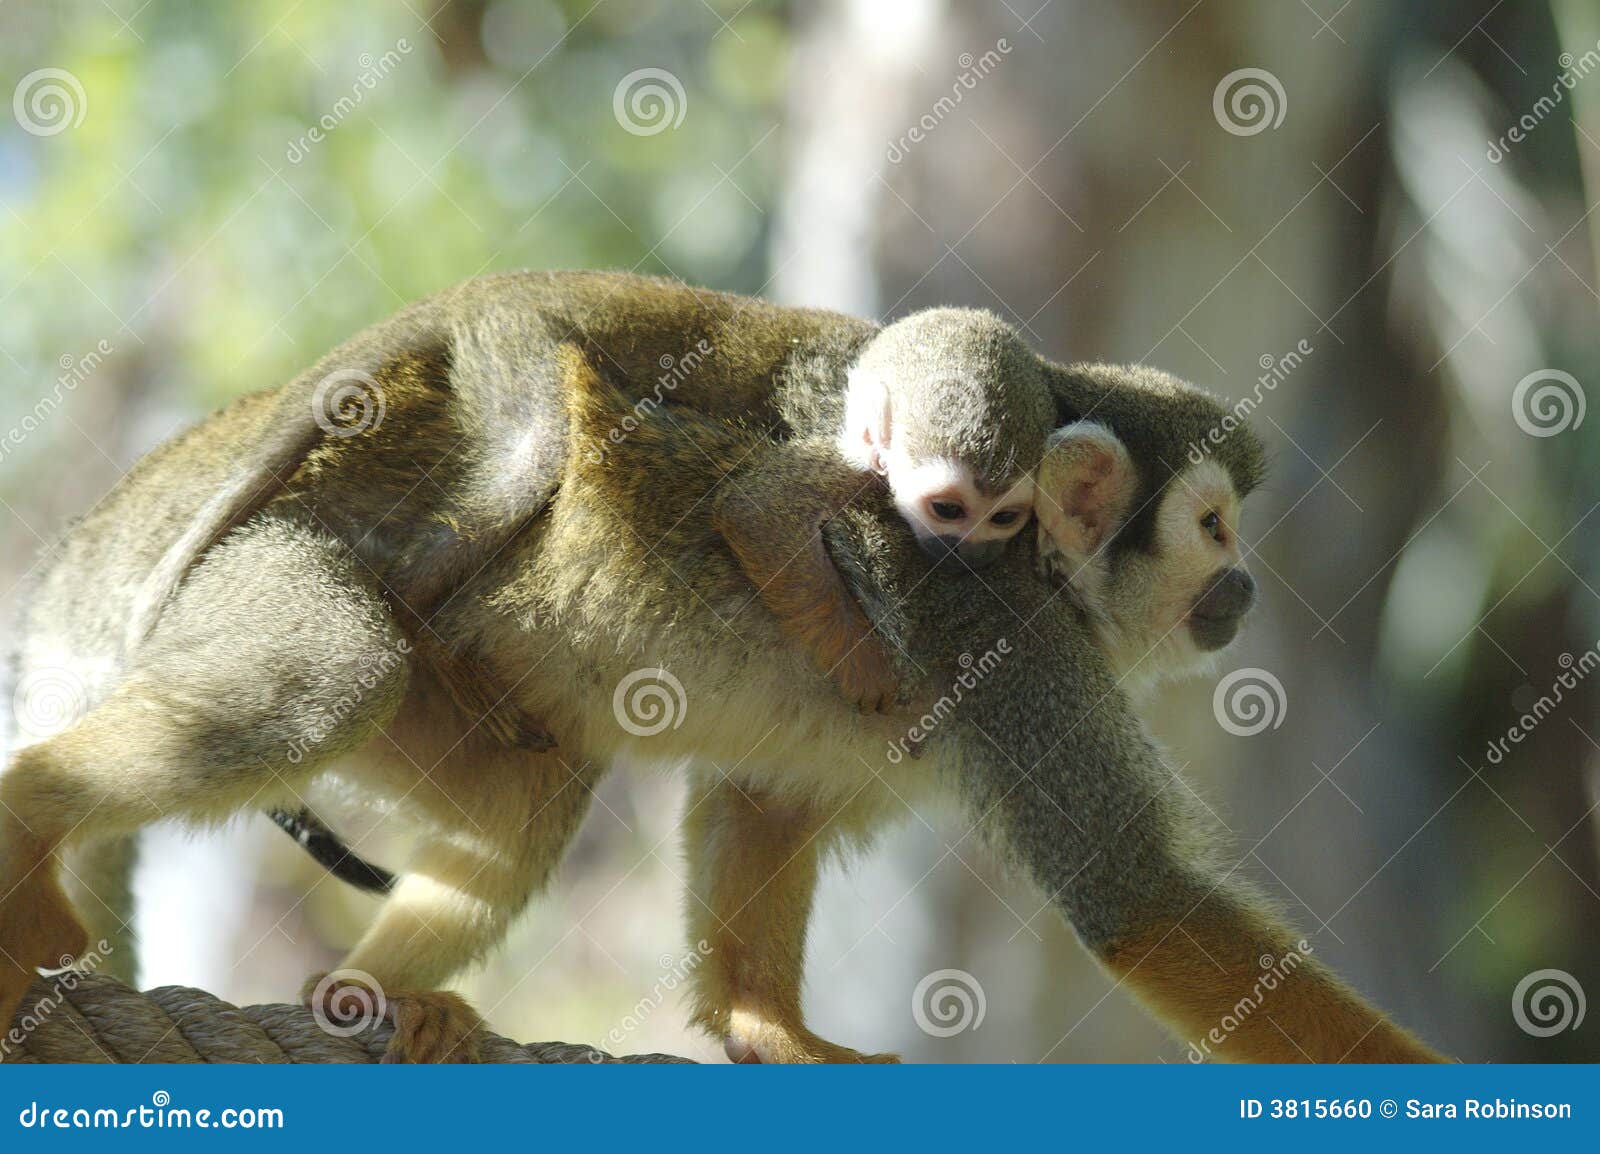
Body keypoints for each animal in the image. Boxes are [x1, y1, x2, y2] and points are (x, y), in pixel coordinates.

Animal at [0, 271, 1444, 1064]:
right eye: (1213, 530)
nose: (1242, 589)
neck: (1041, 571)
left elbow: (764, 801)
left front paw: (768, 1028)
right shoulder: (998, 634)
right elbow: (1137, 898)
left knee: (532, 784)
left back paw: (364, 995)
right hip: (278, 557)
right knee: (329, 679)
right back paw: (26, 824)